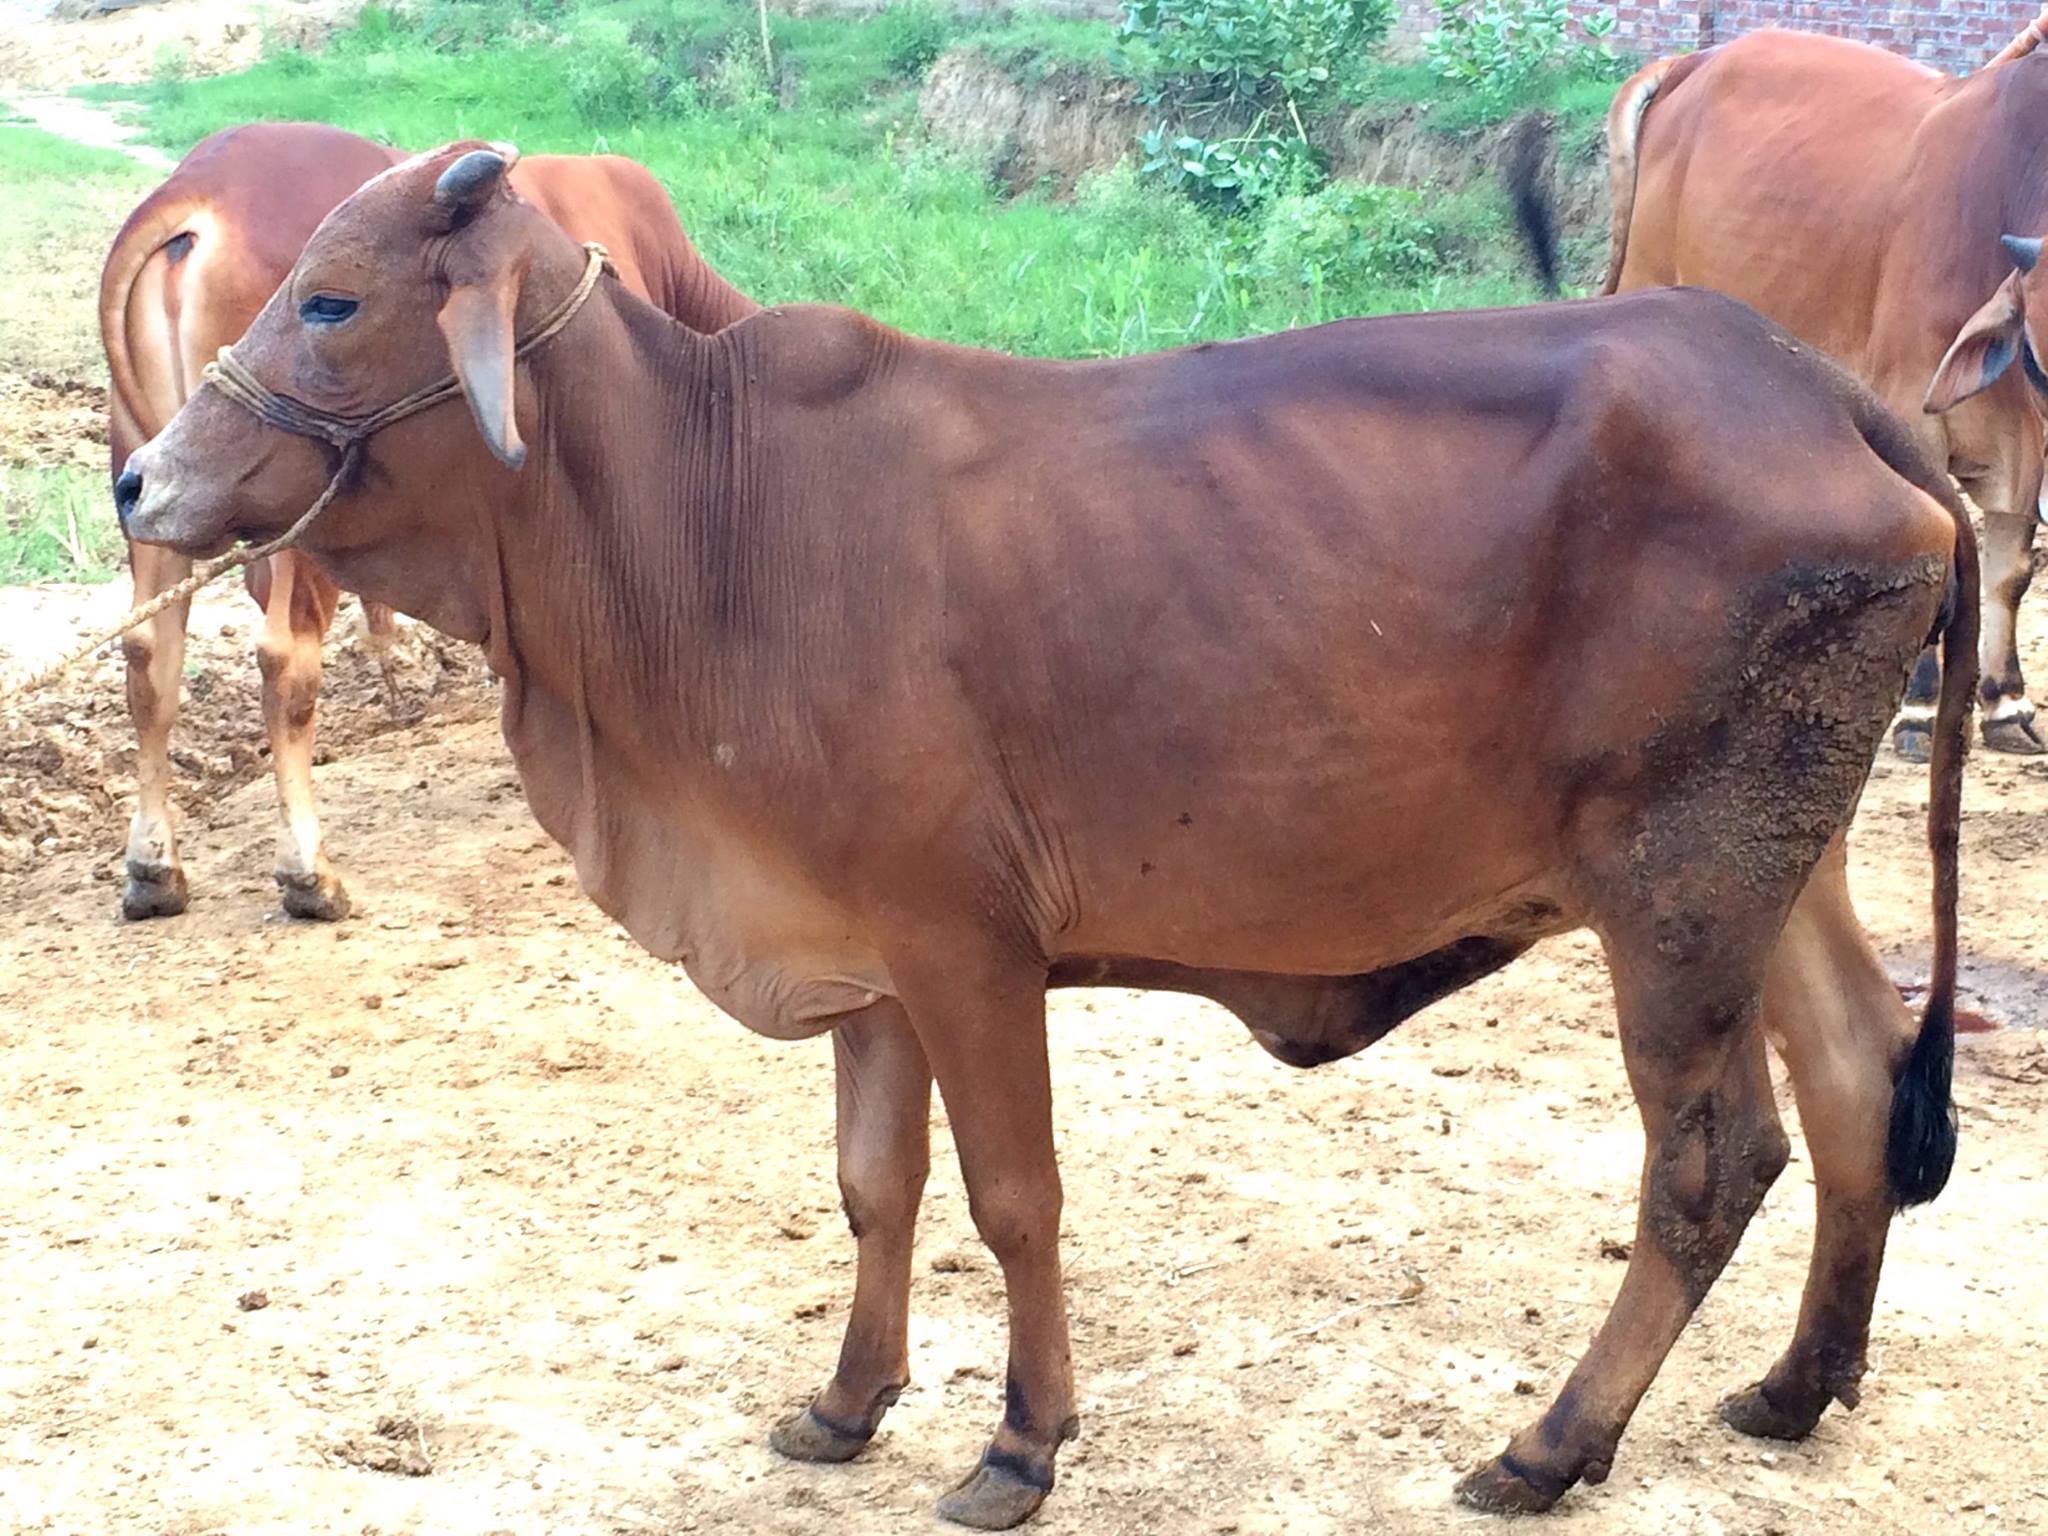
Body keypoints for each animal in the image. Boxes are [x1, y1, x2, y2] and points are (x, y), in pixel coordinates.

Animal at [101, 121, 757, 922]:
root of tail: (192, 193)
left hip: (147, 471)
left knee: (148, 657)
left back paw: (153, 869)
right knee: (282, 659)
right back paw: (307, 872)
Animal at [1577, 24, 2048, 760]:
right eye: (2034, 349)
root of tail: (1693, 62)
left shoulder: (2024, 444)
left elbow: (2011, 569)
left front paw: (2006, 702)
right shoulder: (1911, 410)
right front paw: (1917, 711)